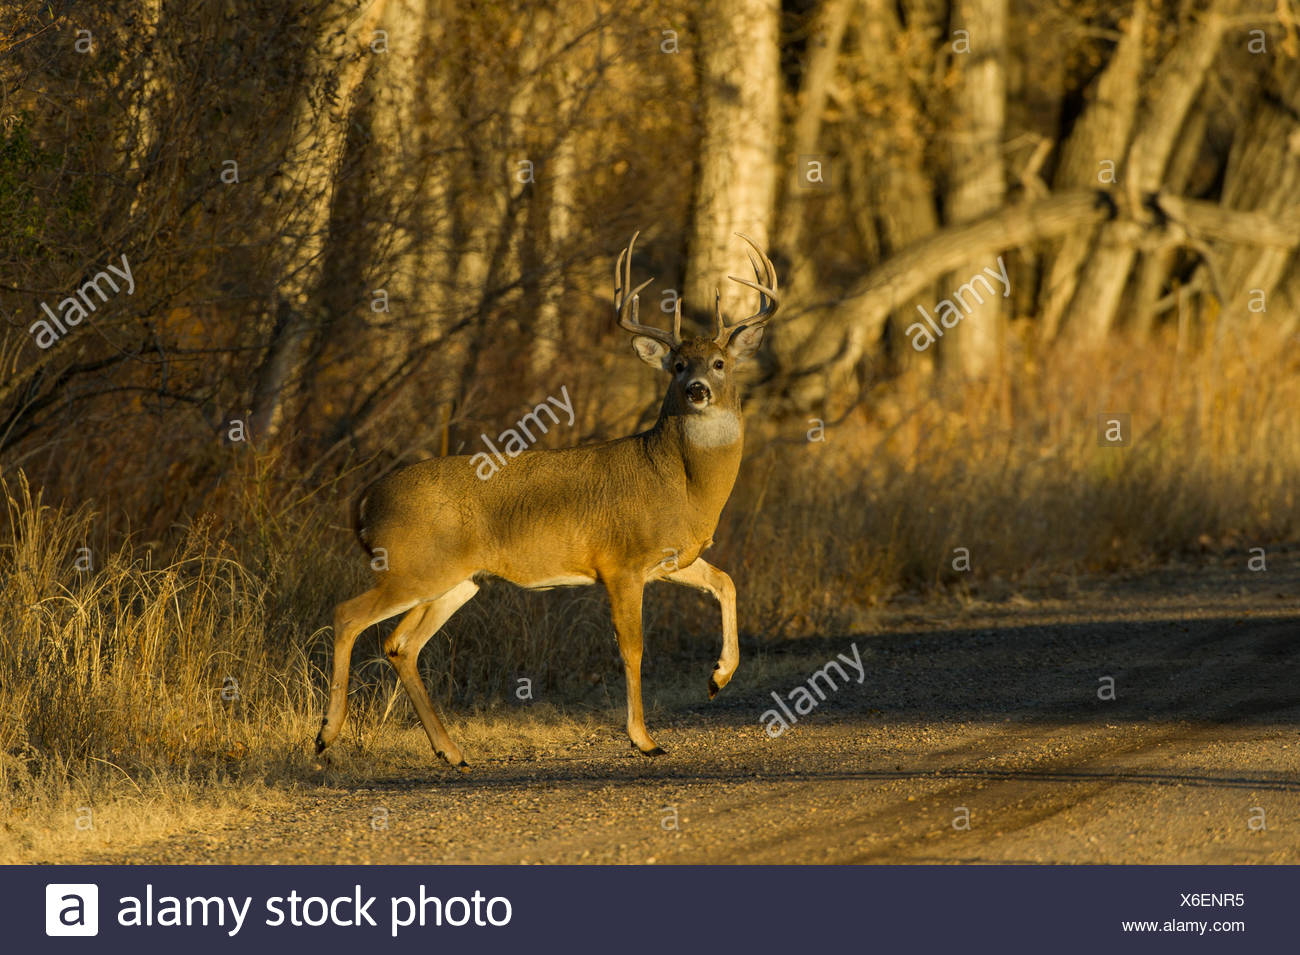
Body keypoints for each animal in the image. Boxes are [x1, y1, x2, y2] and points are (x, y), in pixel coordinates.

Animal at [315, 230, 779, 770]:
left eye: (720, 363)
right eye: (678, 366)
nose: (698, 389)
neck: (681, 482)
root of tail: (365, 500)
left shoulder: (670, 560)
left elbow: (725, 582)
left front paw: (717, 678)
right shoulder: (620, 562)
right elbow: (633, 649)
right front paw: (643, 738)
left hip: (456, 580)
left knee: (399, 644)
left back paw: (451, 752)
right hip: (411, 567)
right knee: (347, 614)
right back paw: (326, 735)